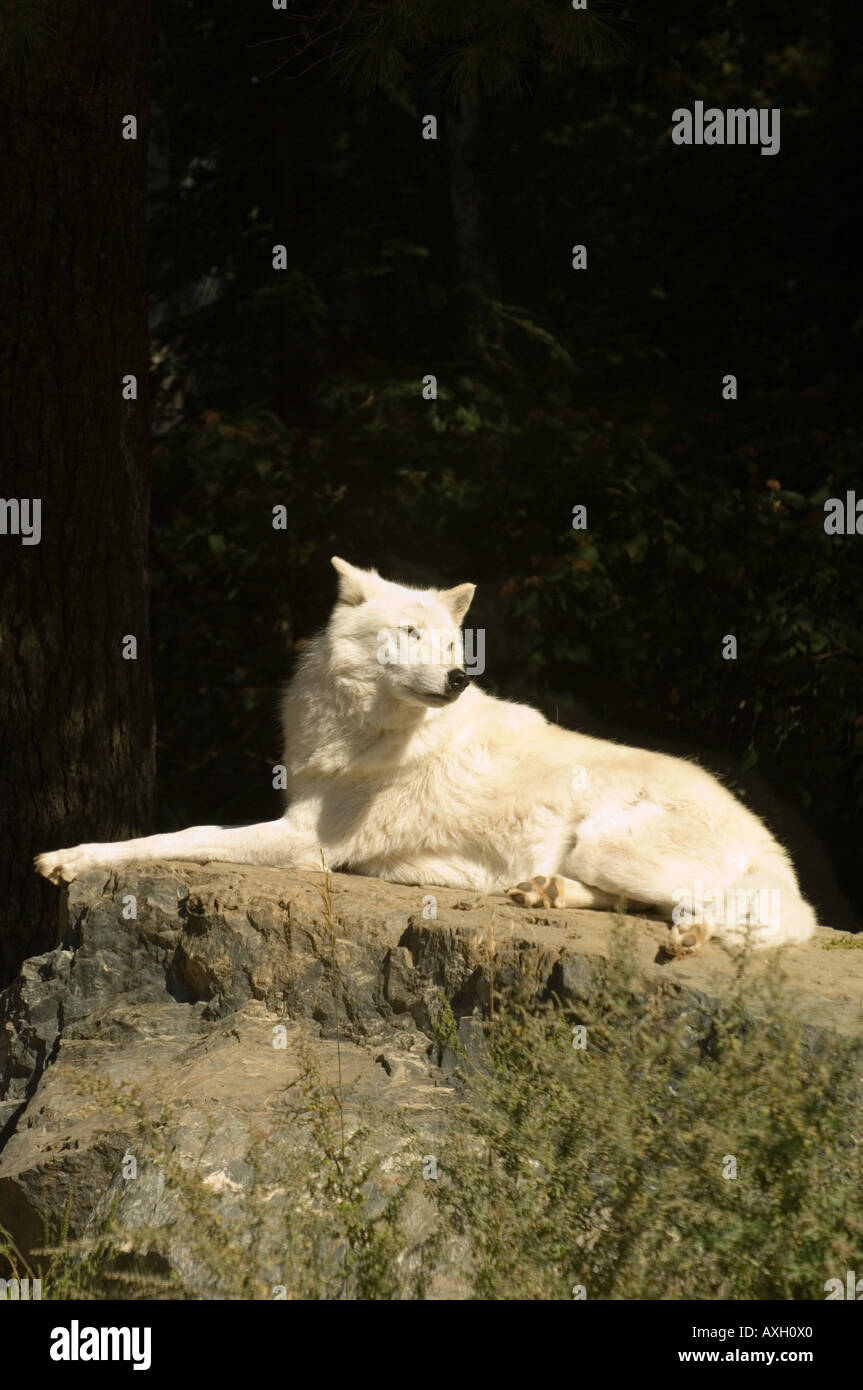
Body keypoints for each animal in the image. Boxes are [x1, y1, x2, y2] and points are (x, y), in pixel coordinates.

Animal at [36, 556, 818, 955]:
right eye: (410, 634)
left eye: (450, 644)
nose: (455, 677)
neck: (363, 728)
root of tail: (772, 841)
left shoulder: (305, 843)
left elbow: (183, 832)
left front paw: (73, 856)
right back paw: (542, 892)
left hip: (616, 848)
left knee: (735, 912)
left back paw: (690, 933)